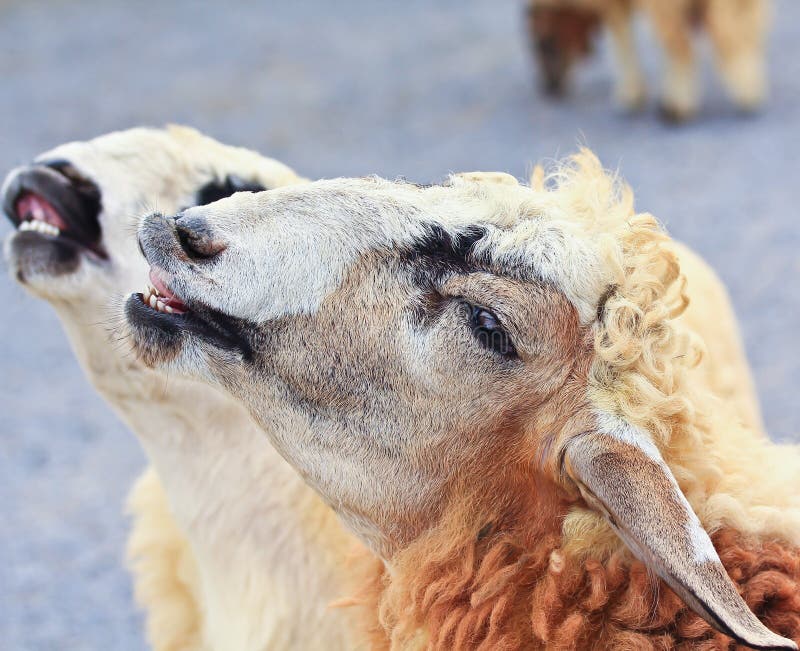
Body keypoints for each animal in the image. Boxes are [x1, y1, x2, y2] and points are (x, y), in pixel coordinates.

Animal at [526, 0, 771, 121]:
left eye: (543, 43)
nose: (549, 88)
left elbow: (620, 35)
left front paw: (630, 94)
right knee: (743, 28)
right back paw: (749, 89)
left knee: (682, 46)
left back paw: (677, 107)